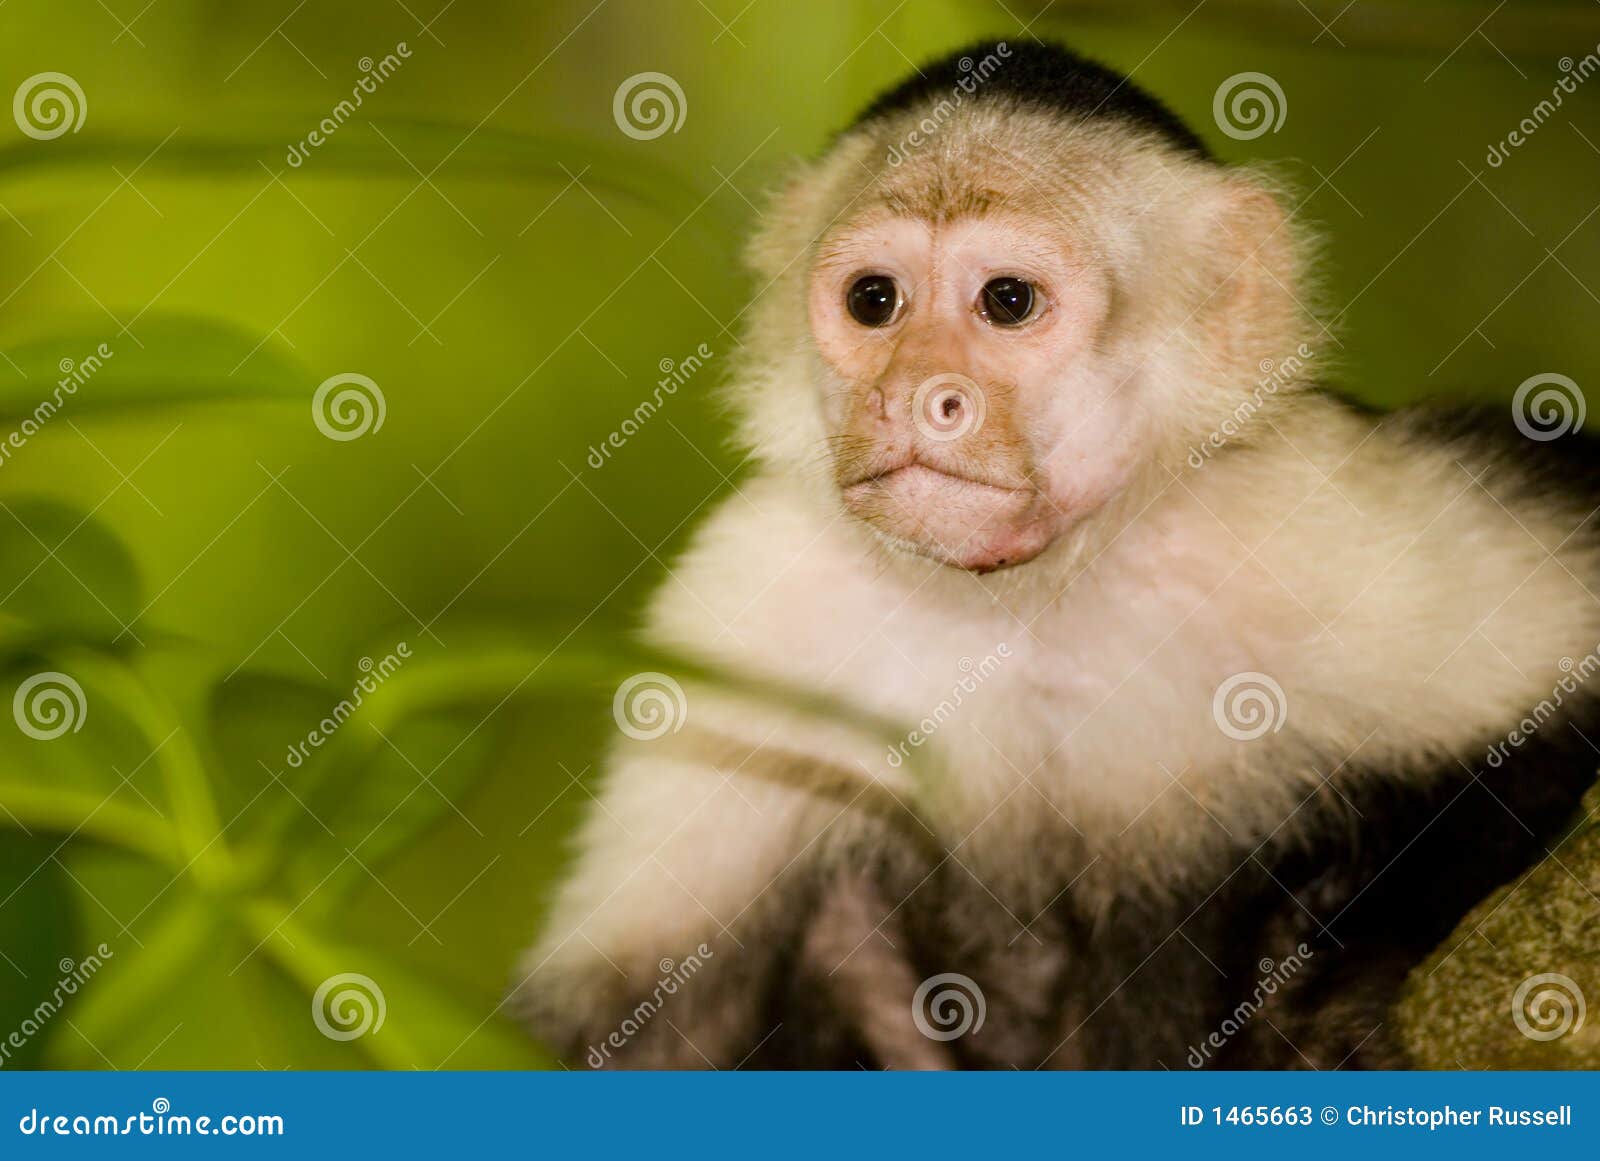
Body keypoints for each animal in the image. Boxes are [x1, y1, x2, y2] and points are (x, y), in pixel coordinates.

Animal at [515, 39, 1600, 1069]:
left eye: (1006, 300)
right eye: (874, 301)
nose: (913, 393)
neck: (1028, 598)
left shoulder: (1298, 505)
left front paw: (1350, 956)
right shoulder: (740, 594)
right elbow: (645, 1027)